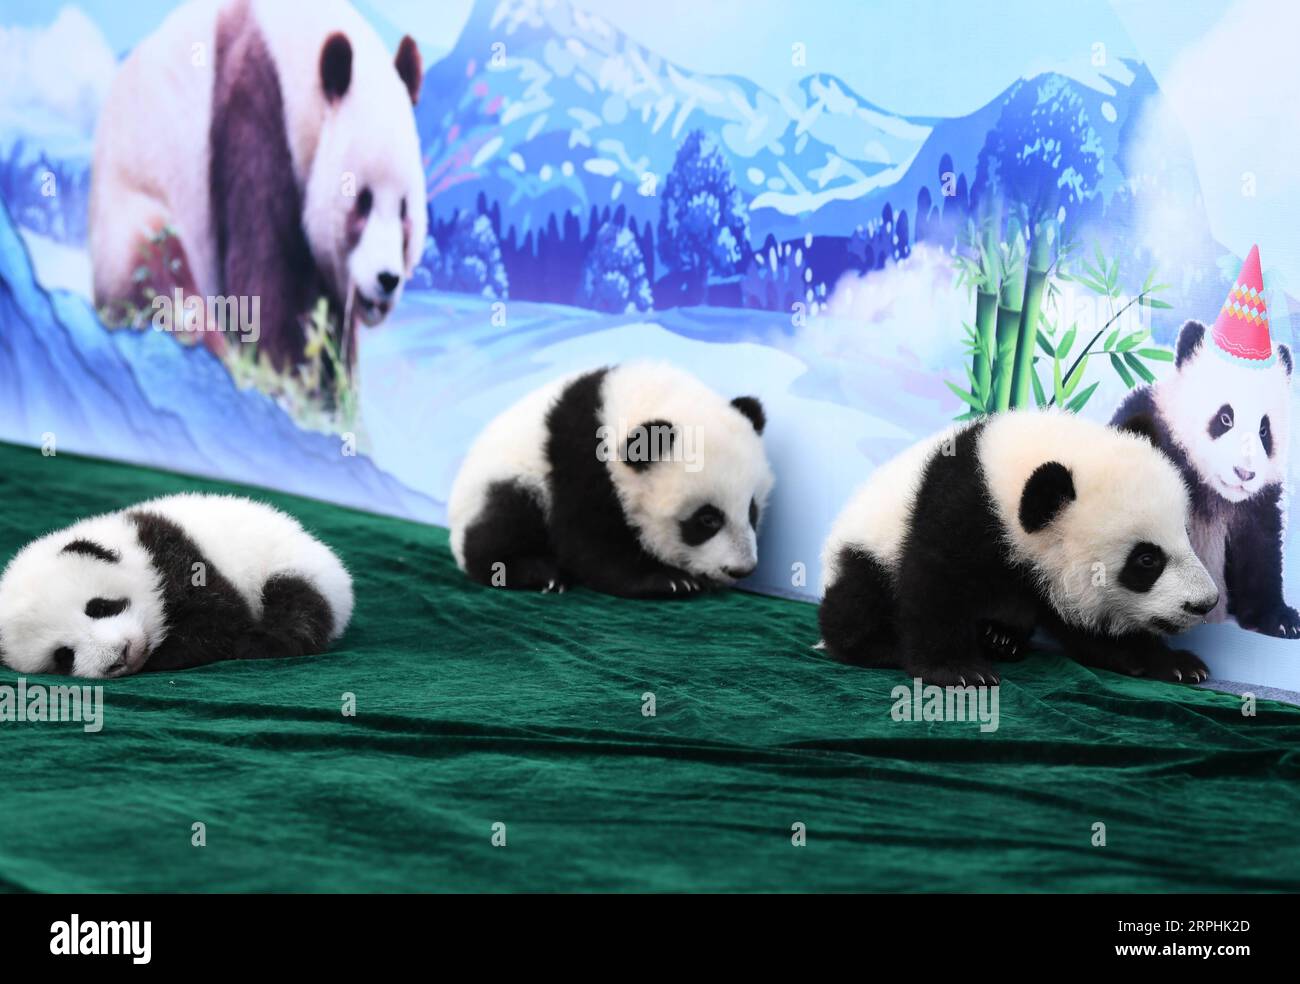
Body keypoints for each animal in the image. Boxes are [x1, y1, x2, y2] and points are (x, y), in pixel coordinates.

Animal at [0, 495, 353, 679]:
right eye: (63, 656)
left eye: (98, 607)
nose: (120, 656)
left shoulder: (177, 556)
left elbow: (221, 620)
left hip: (294, 561)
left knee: (298, 604)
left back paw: (262, 642)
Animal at [89, 0, 426, 372]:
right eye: (363, 202)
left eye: (404, 210)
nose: (386, 279)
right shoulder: (254, 109)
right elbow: (262, 279)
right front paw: (285, 373)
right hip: (133, 204)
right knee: (161, 276)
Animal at [448, 363, 774, 598]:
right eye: (707, 519)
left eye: (752, 511)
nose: (741, 570)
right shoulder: (579, 462)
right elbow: (588, 540)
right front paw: (668, 580)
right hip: (506, 479)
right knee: (503, 520)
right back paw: (537, 572)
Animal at [818, 410, 1220, 686]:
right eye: (1146, 560)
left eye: (1186, 533)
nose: (1205, 603)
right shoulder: (960, 511)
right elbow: (933, 585)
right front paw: (958, 671)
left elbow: (1092, 629)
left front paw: (1175, 664)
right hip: (866, 547)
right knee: (858, 596)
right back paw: (879, 646)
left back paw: (1001, 639)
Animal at [1111, 320, 1297, 637]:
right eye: (1225, 418)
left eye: (1264, 430)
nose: (1244, 474)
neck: (1209, 487)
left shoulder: (1256, 503)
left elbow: (1259, 549)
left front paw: (1281, 619)